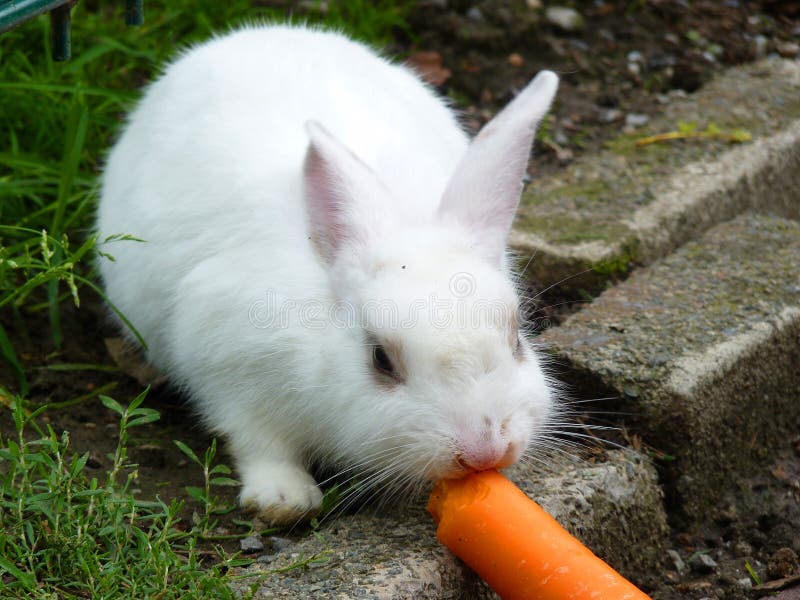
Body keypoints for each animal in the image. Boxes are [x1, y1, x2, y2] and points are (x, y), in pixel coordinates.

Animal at [97, 24, 559, 525]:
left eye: (516, 342)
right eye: (380, 359)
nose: (484, 451)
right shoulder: (227, 369)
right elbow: (259, 442)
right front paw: (284, 500)